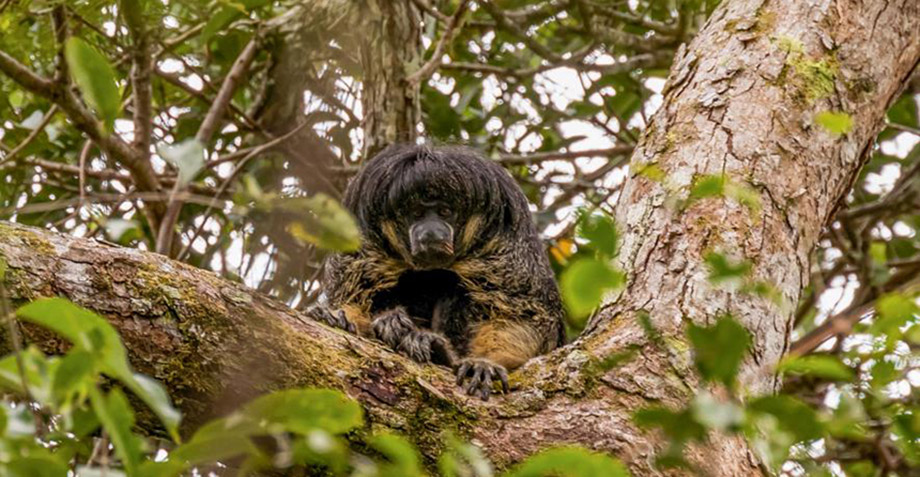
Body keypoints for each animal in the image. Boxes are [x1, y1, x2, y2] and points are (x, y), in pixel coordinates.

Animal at [309, 144, 565, 400]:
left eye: (444, 211)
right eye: (416, 213)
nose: (430, 231)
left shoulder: (505, 236)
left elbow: (524, 314)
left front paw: (484, 364)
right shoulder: (364, 234)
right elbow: (356, 296)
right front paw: (342, 318)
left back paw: (437, 349)